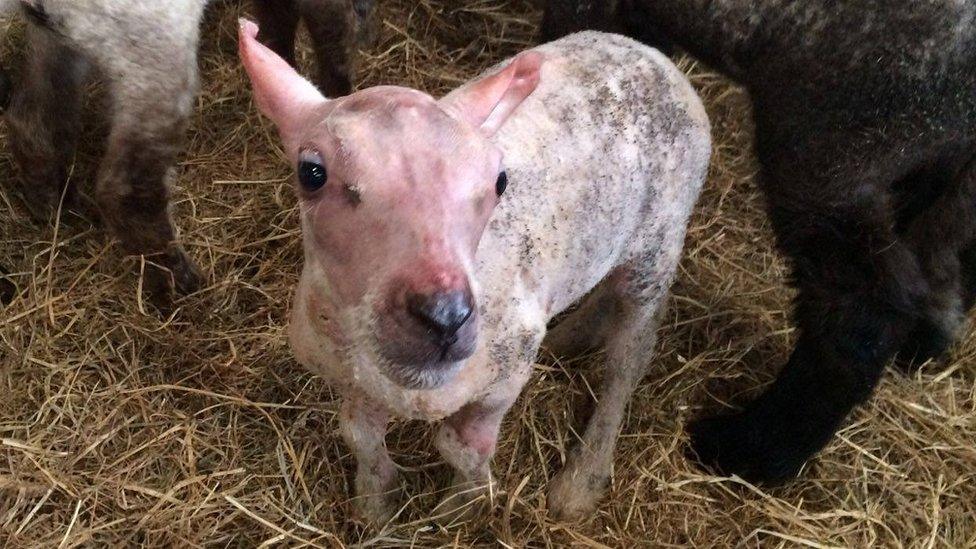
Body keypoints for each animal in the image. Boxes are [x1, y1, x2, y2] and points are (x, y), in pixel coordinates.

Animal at [238, 18, 711, 522]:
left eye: (500, 181)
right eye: (311, 172)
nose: (444, 317)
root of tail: (651, 55)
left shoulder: (506, 373)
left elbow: (461, 448)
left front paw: (460, 507)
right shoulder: (347, 377)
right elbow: (358, 435)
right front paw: (376, 503)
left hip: (657, 243)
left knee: (628, 359)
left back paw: (583, 478)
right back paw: (570, 338)